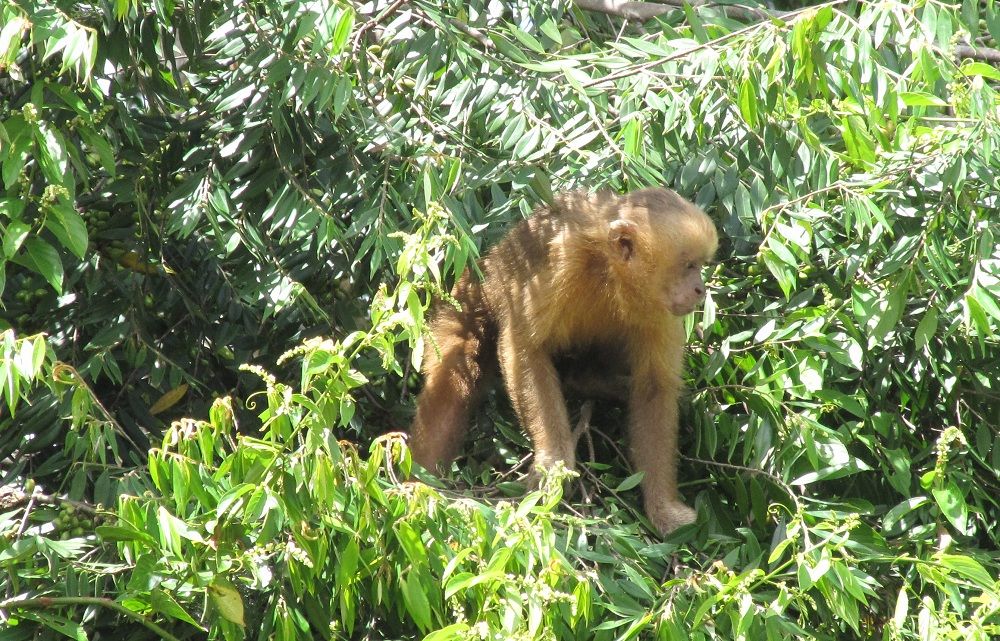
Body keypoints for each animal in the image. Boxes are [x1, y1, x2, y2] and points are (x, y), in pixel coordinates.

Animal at [409, 187, 718, 534]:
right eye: (689, 265)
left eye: (700, 265)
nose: (700, 289)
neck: (611, 274)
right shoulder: (564, 259)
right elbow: (524, 347)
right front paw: (553, 461)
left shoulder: (659, 308)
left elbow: (654, 387)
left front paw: (663, 507)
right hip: (471, 293)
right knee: (457, 364)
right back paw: (417, 483)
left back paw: (590, 382)